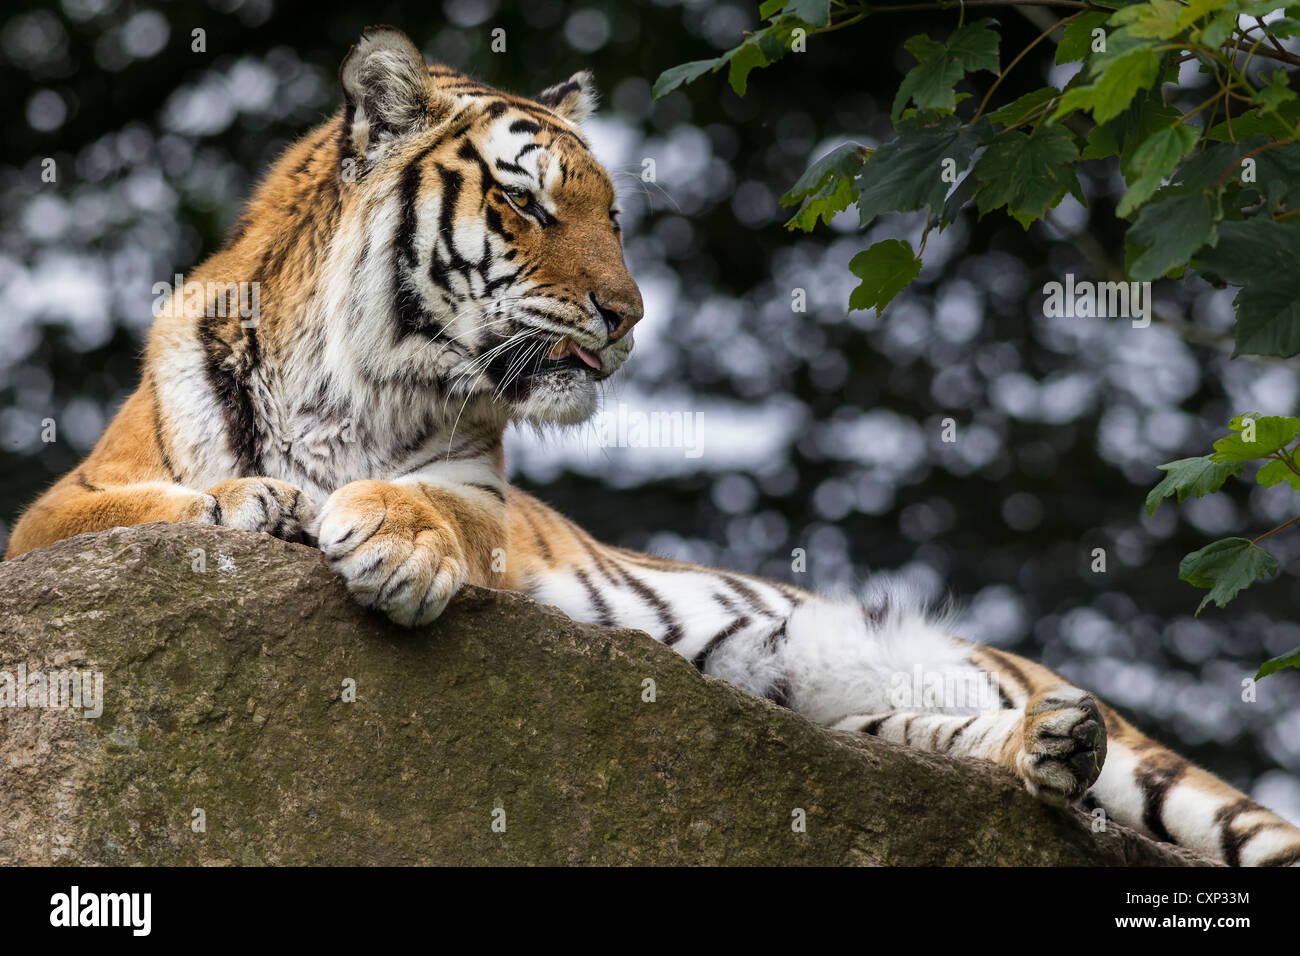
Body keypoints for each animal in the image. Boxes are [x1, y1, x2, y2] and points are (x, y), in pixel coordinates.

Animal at [6, 25, 1298, 866]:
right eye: (528, 203)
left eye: (613, 214)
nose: (629, 315)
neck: (350, 374)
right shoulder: (59, 507)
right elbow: (138, 506)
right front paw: (255, 501)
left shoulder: (480, 493)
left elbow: (440, 510)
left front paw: (395, 545)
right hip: (858, 720)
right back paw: (1050, 749)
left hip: (1143, 768)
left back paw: (1067, 738)